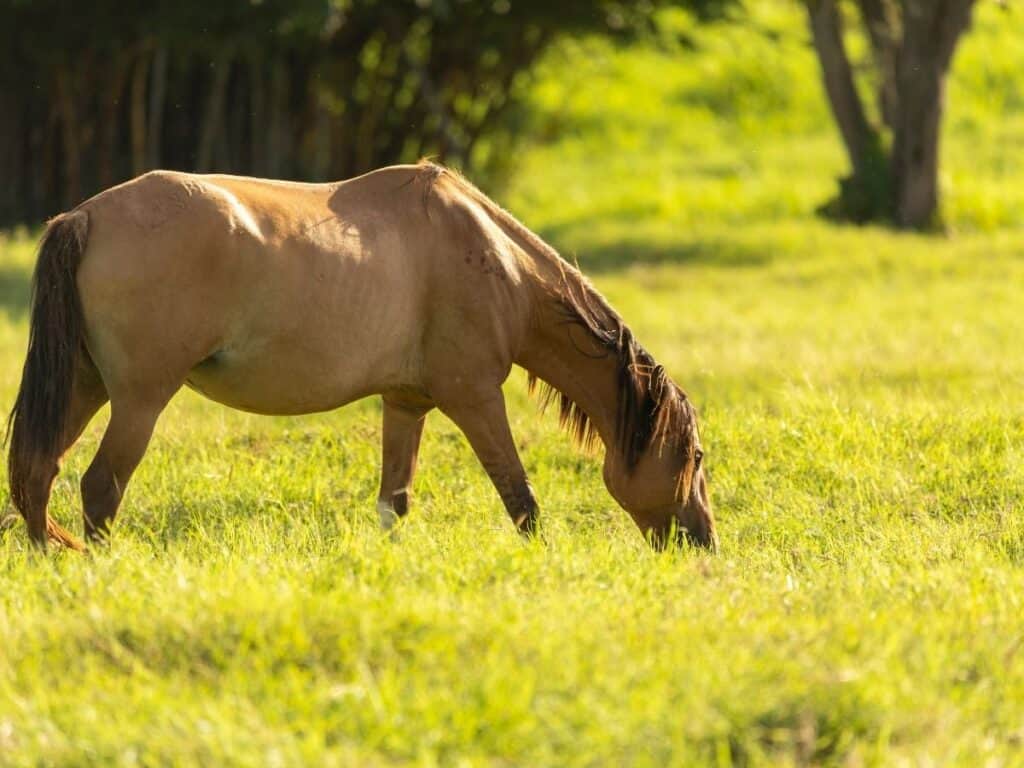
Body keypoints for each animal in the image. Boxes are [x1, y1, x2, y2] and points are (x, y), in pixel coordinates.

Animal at [6, 161, 716, 553]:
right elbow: (521, 498)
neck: (494, 259)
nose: (703, 543)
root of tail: (84, 217)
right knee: (100, 487)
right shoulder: (474, 398)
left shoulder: (407, 404)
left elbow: (392, 503)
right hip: (140, 400)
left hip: (84, 386)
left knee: (37, 474)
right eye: (697, 457)